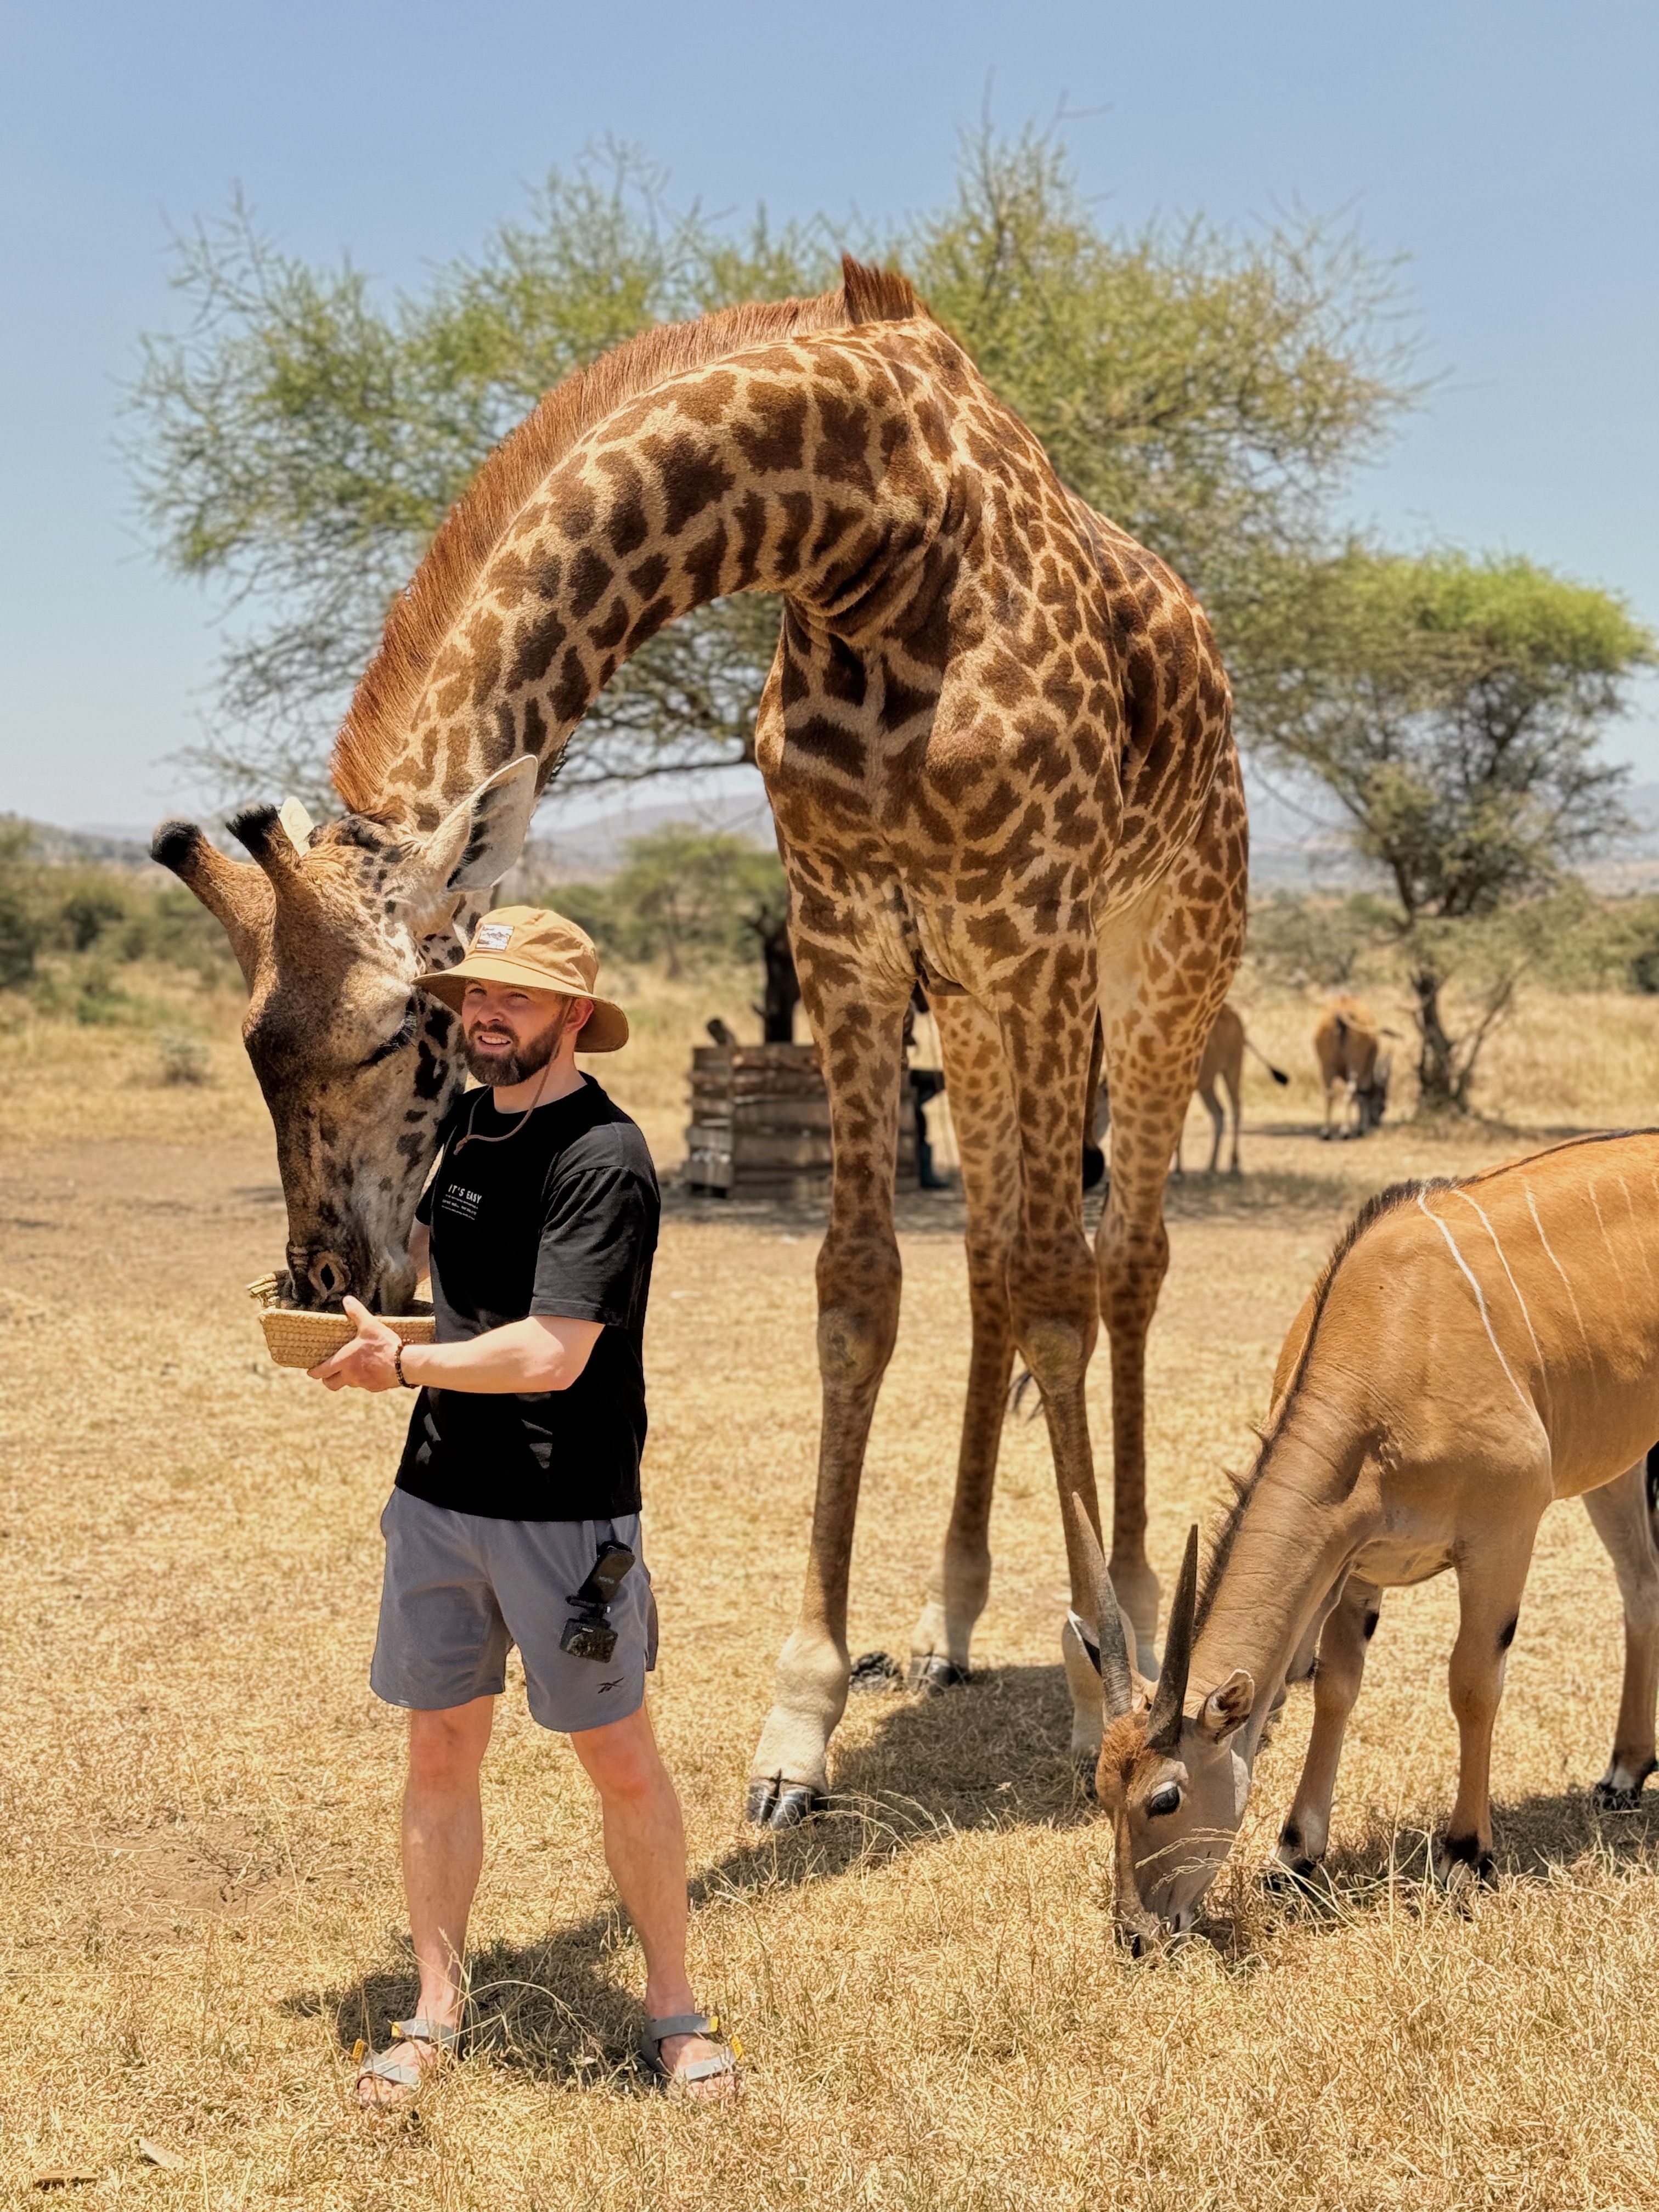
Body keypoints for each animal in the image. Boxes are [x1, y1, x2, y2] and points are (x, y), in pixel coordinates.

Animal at [153, 258, 1248, 1823]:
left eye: (395, 1033)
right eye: (256, 1048)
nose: (325, 1278)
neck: (869, 535)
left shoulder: (1029, 914)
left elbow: (1062, 1292)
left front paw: (1104, 1680)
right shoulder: (853, 928)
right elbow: (862, 1289)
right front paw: (803, 1724)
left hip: (1161, 952)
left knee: (1124, 1260)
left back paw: (1145, 1616)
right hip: (977, 999)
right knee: (991, 1259)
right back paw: (951, 1620)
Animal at [1066, 1130, 1659, 1949]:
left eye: (1165, 1798)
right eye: (1098, 1788)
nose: (1136, 1936)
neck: (1393, 1335)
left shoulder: (1504, 1533)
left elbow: (1474, 1683)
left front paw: (1465, 1856)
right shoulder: (1357, 1561)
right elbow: (1337, 1687)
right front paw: (1295, 1857)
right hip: (1616, 1466)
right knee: (1642, 1584)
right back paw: (1625, 1772)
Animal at [1314, 996, 1394, 1139]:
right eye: (1383, 1107)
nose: (1377, 1124)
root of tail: (1343, 1011)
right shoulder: (1367, 1069)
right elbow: (1363, 1095)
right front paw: (1362, 1129)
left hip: (1327, 1066)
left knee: (1329, 1093)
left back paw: (1326, 1132)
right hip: (1355, 1065)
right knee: (1351, 1092)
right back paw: (1345, 1131)